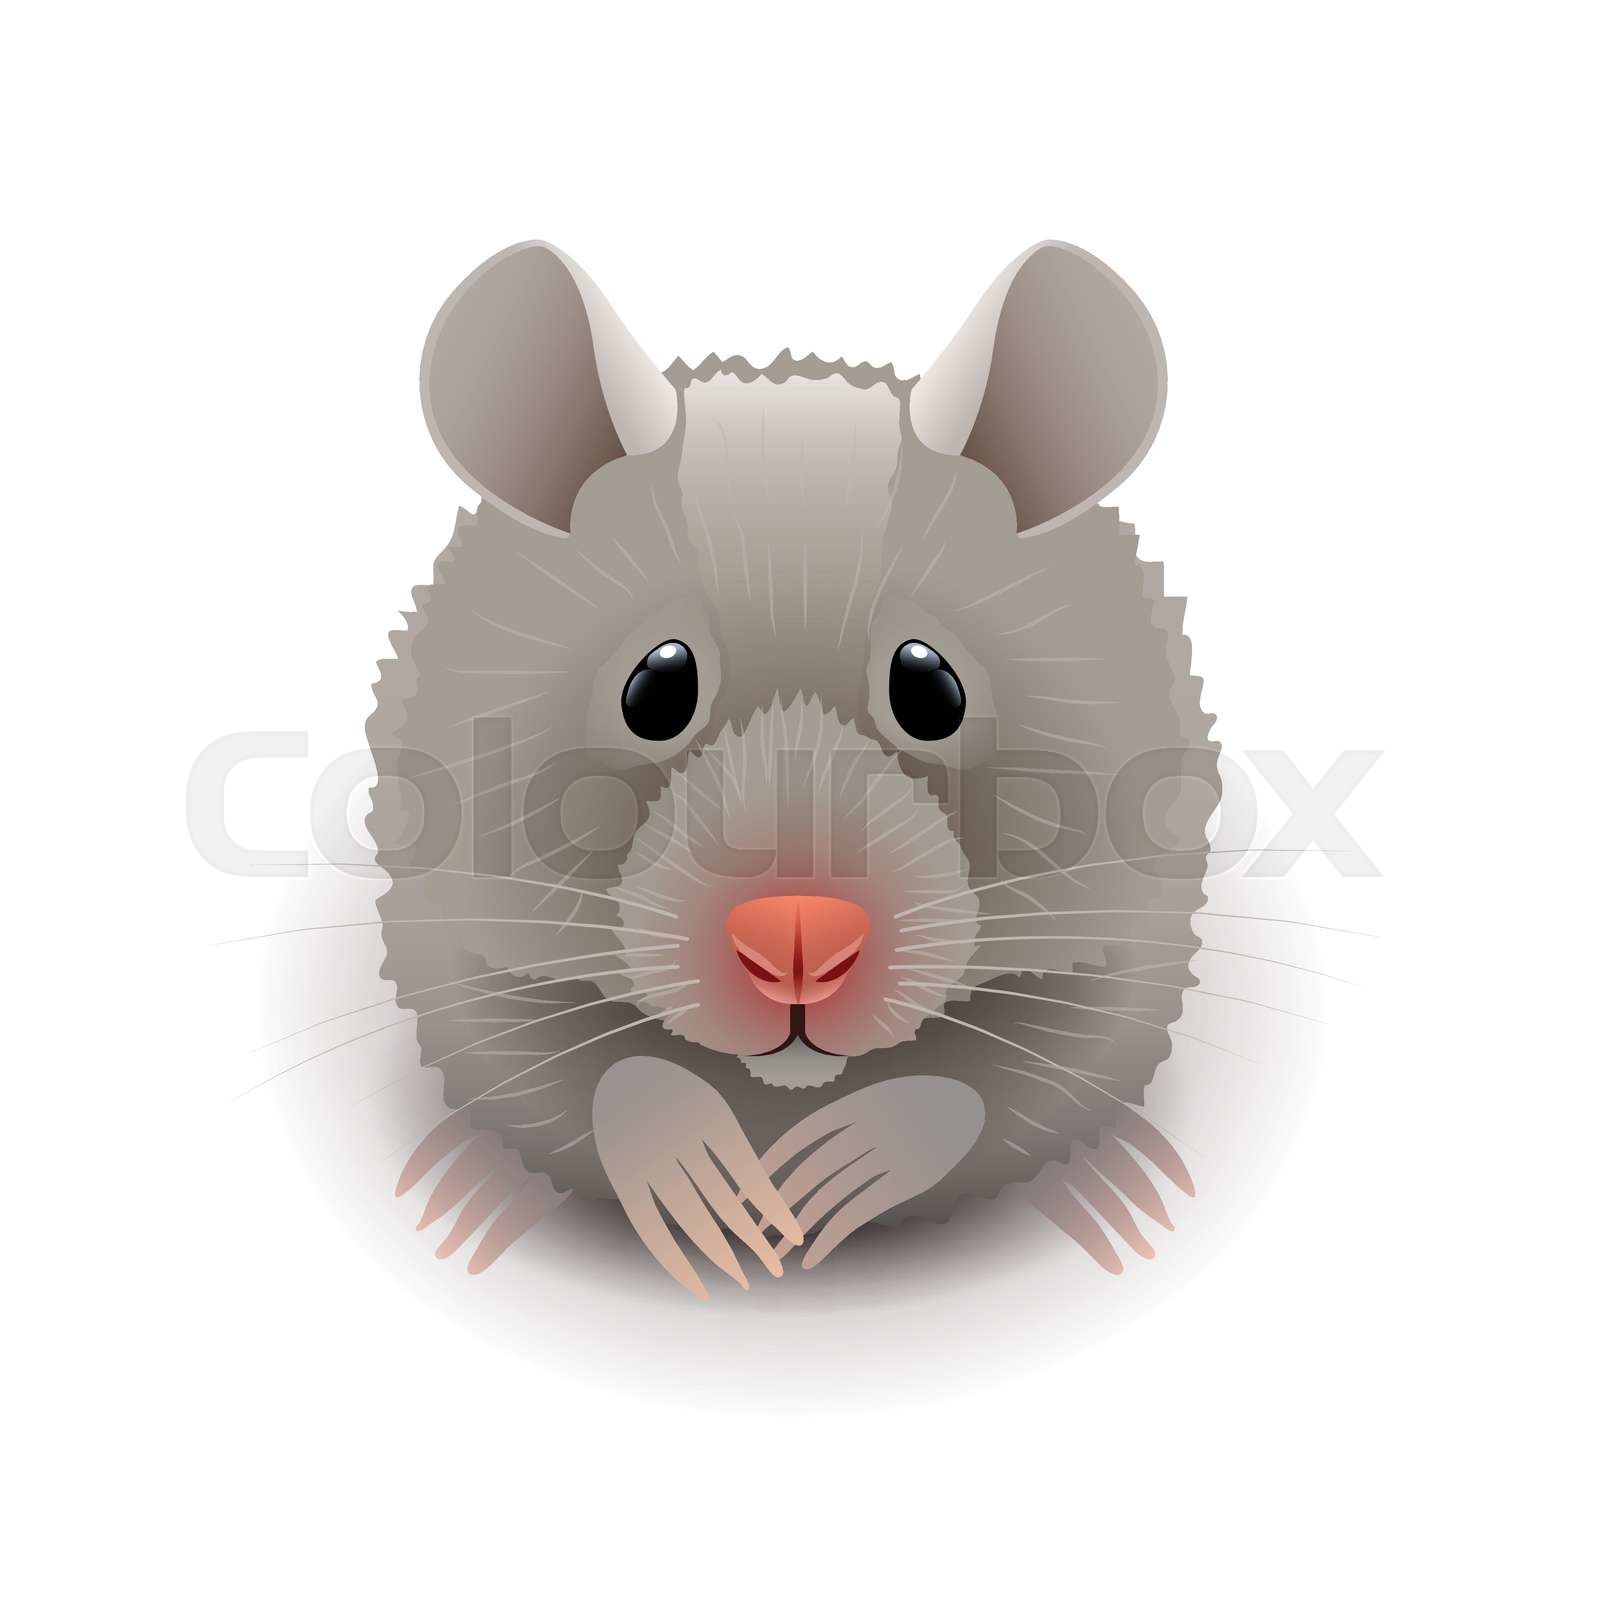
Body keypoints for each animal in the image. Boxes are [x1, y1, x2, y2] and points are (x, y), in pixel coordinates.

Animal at [368, 242, 1218, 1294]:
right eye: (655, 687)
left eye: (930, 687)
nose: (798, 949)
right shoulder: (459, 935)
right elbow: (593, 1074)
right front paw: (707, 1186)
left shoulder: (1124, 939)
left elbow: (998, 1085)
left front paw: (830, 1179)